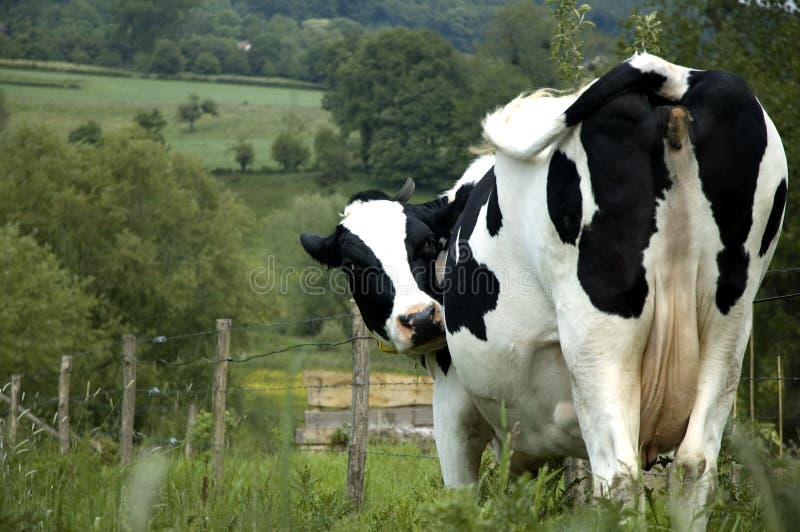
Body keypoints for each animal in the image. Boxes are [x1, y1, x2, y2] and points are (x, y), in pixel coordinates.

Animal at [440, 53, 787, 529]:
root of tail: (670, 77)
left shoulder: (451, 390)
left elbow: (461, 487)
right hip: (729, 320)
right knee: (694, 465)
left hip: (598, 335)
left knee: (619, 475)